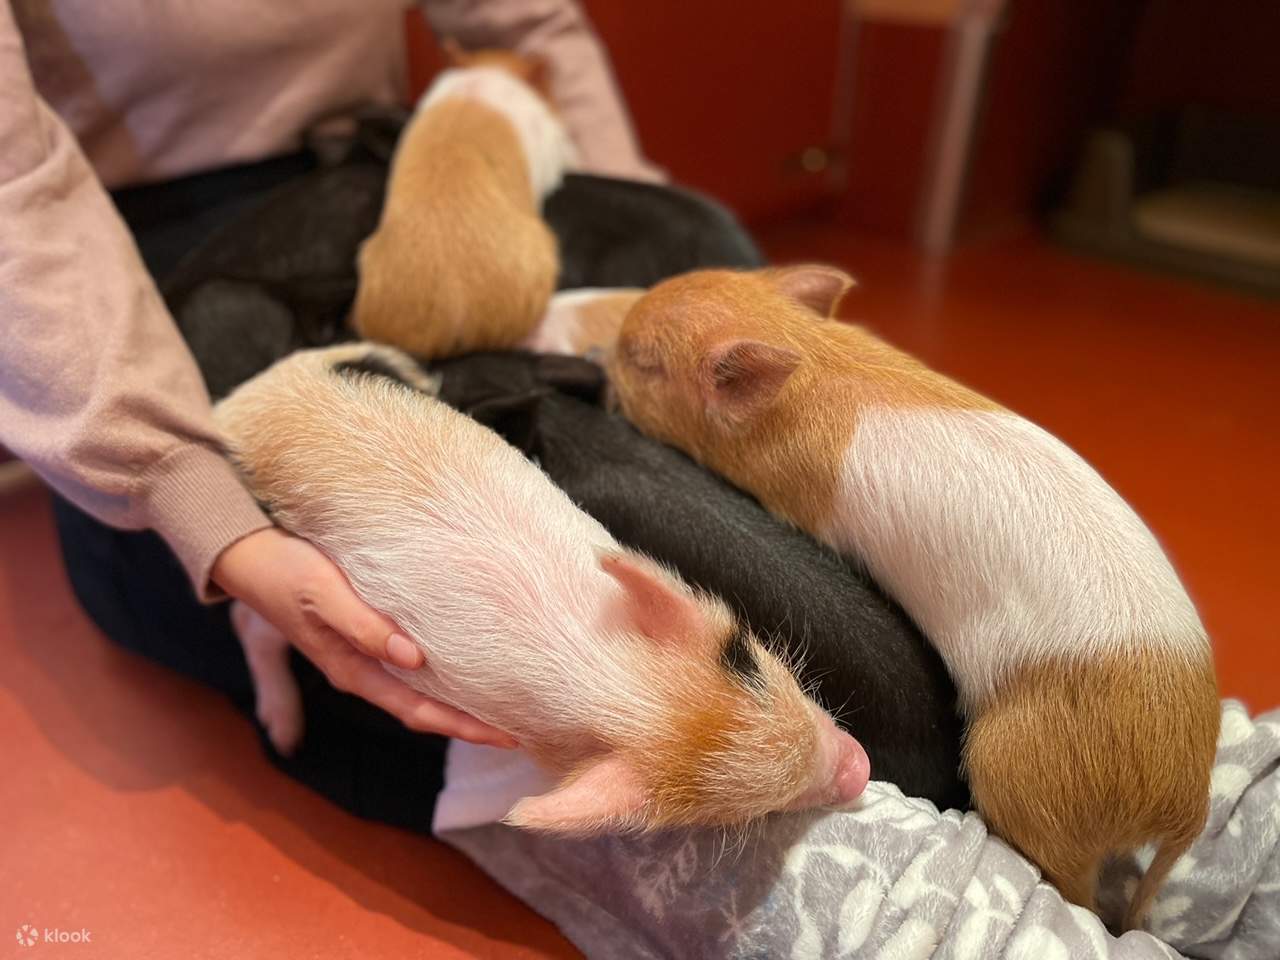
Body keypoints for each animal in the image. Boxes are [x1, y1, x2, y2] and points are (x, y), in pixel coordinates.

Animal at [213, 342, 869, 833]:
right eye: (751, 812)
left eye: (746, 654)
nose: (860, 770)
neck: (604, 675)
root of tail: (237, 405)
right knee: (248, 623)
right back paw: (287, 739)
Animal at [604, 266, 1219, 929]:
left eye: (643, 362)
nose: (605, 350)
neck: (809, 356)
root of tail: (1181, 804)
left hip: (1018, 778)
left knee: (1072, 890)